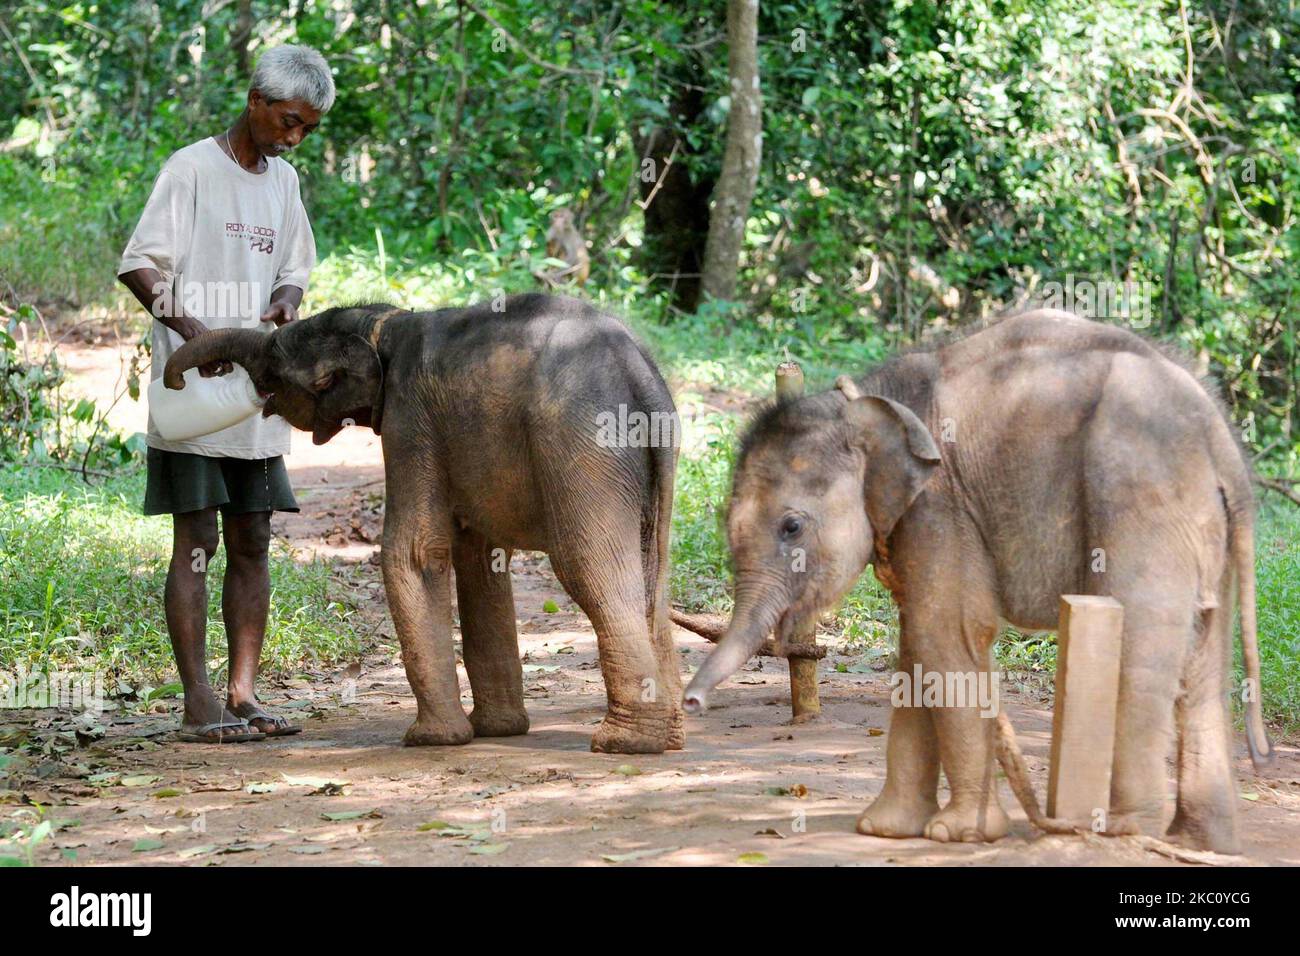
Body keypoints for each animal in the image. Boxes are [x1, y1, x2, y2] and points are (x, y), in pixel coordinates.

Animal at [164, 294, 684, 754]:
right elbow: (480, 558)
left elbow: (415, 551)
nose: (179, 384)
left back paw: (625, 742)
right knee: (651, 571)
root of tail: (640, 373)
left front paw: (431, 739)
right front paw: (496, 730)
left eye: (273, 362)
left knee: (592, 565)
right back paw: (670, 736)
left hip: (583, 445)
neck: (383, 323)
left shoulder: (409, 417)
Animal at [674, 308, 1272, 853]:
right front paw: (886, 830)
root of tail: (1225, 447)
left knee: (1141, 644)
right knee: (1204, 660)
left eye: (792, 526)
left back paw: (1125, 832)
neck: (868, 402)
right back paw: (1202, 843)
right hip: (1201, 529)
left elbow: (946, 633)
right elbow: (918, 644)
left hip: (1141, 497)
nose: (691, 703)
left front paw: (958, 834)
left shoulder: (941, 505)